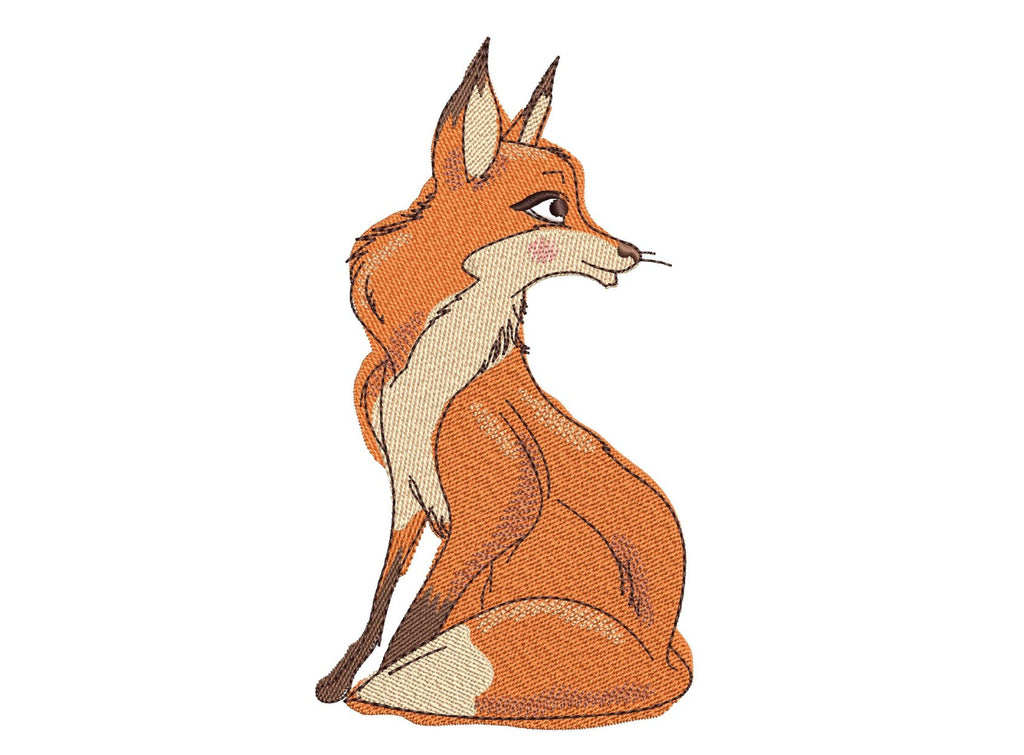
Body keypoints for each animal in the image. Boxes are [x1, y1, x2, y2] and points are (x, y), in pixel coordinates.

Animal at [315, 39, 691, 729]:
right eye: (552, 207)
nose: (630, 251)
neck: (436, 367)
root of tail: (665, 658)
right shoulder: (408, 491)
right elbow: (384, 601)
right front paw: (337, 679)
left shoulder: (499, 502)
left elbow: (415, 624)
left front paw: (366, 689)